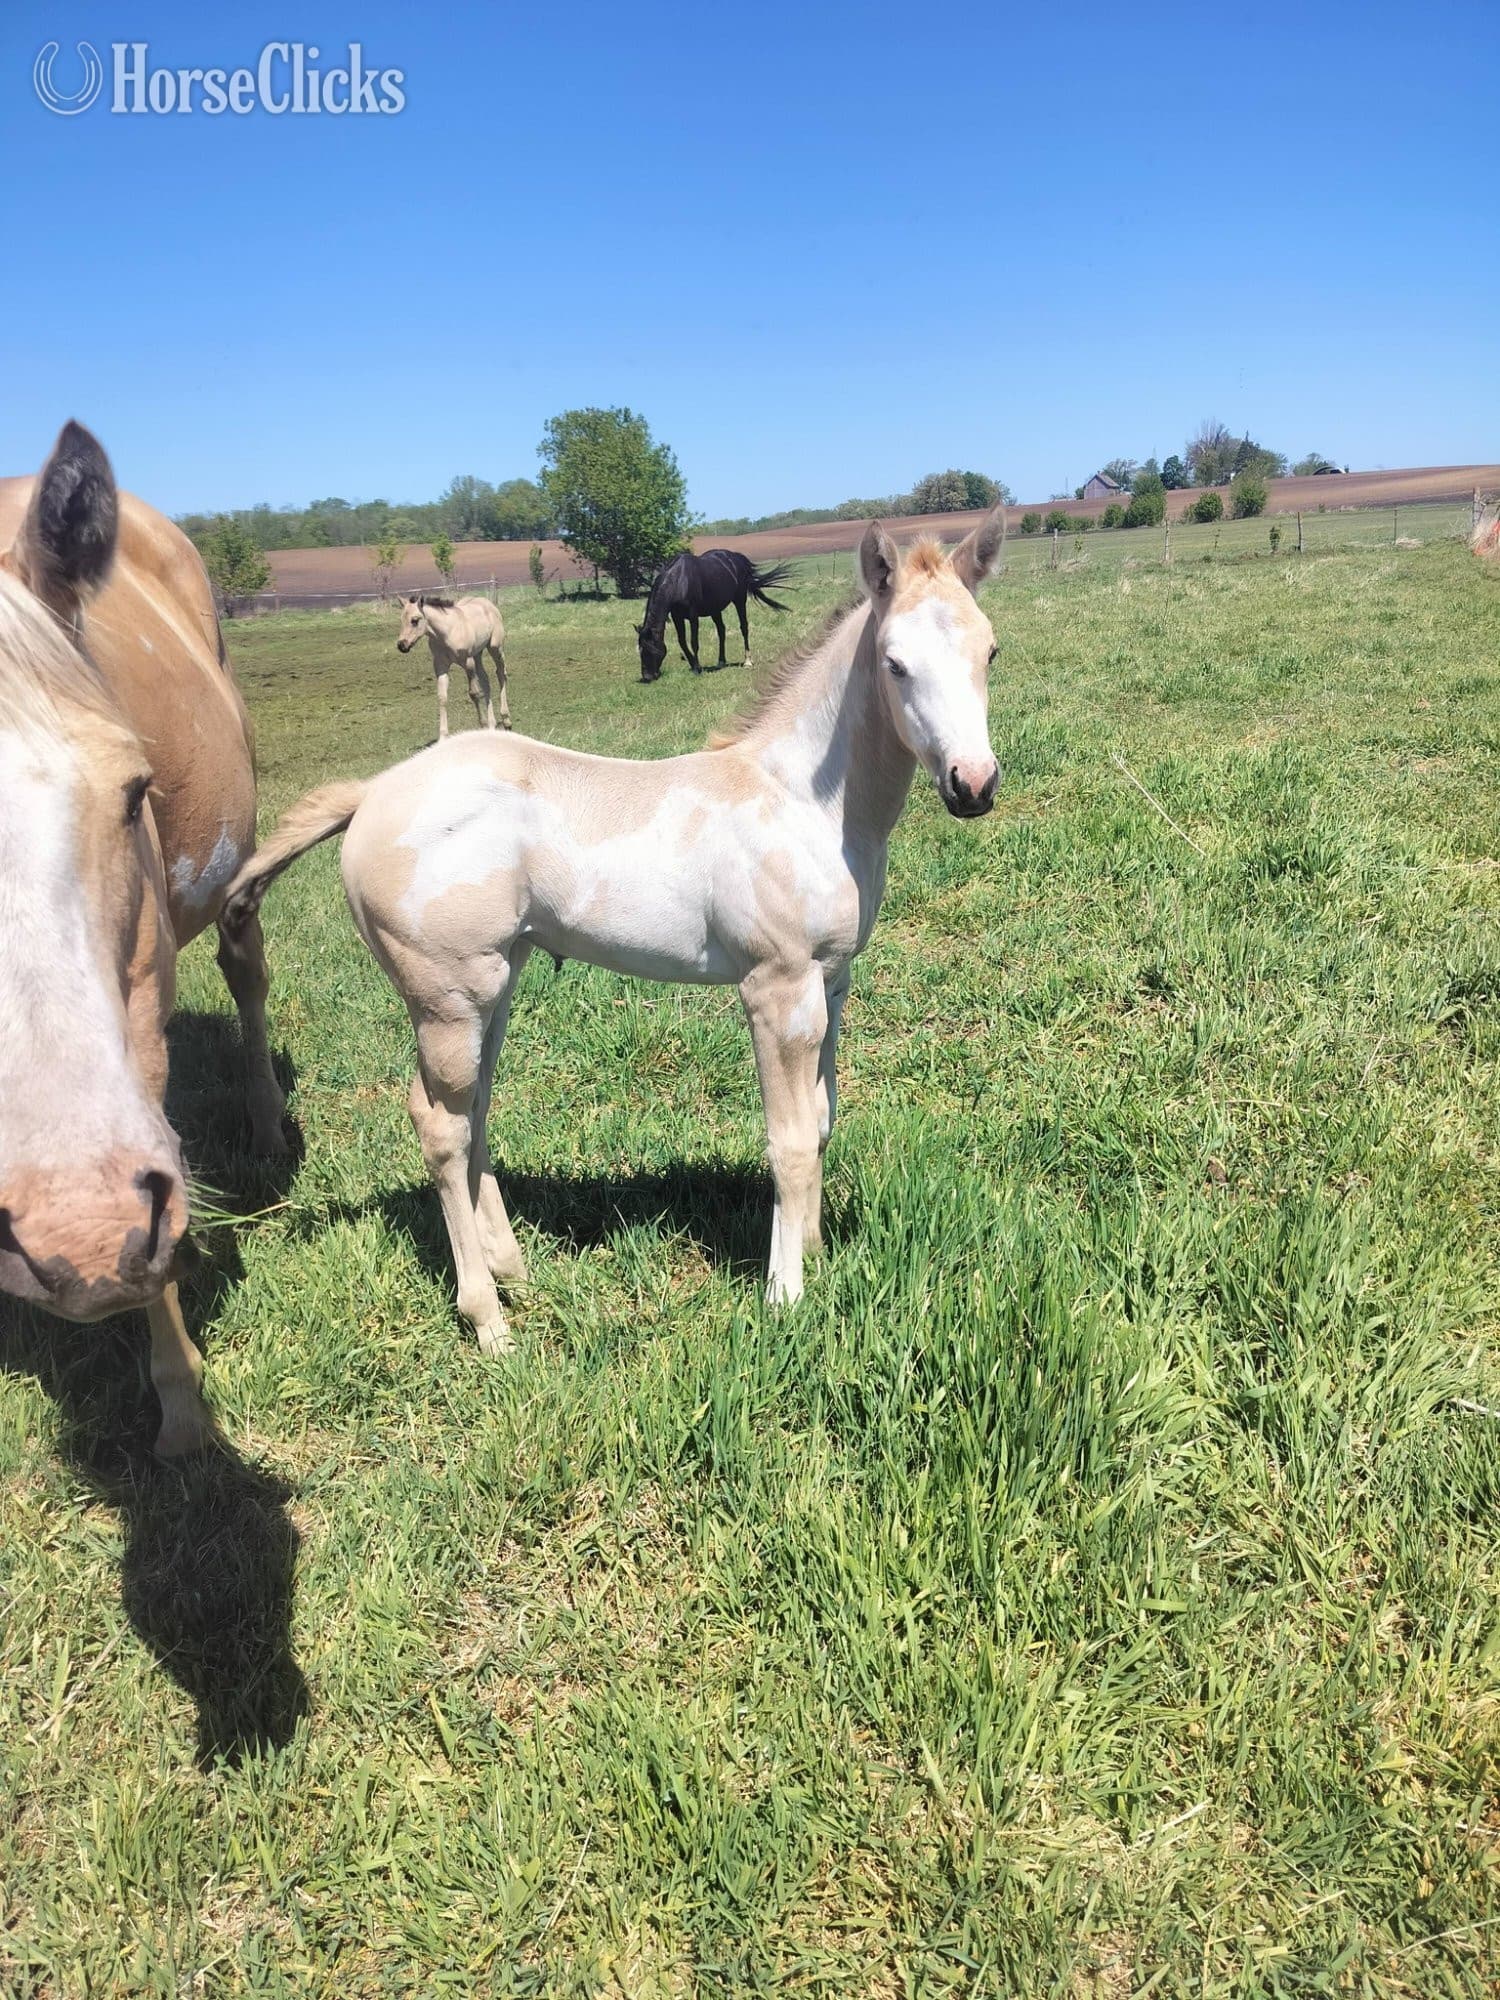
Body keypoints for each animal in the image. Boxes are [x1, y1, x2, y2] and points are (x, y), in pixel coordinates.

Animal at [396, 593, 510, 738]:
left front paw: (483, 724)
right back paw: (492, 724)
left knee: (501, 673)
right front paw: (443, 736)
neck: (447, 633)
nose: (402, 645)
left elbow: (474, 693)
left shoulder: (468, 663)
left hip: (495, 648)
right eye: (402, 620)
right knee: (485, 680)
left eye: (414, 620)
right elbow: (442, 697)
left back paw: (506, 720)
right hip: (477, 654)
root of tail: (488, 603)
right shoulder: (440, 665)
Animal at [635, 549, 793, 681]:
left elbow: (693, 642)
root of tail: (735, 557)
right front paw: (693, 664)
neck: (679, 581)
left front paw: (697, 668)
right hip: (715, 609)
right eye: (640, 650)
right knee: (721, 630)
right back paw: (721, 662)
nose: (647, 676)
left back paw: (747, 661)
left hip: (739, 600)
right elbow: (682, 641)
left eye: (651, 649)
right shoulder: (677, 617)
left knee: (744, 627)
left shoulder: (693, 616)